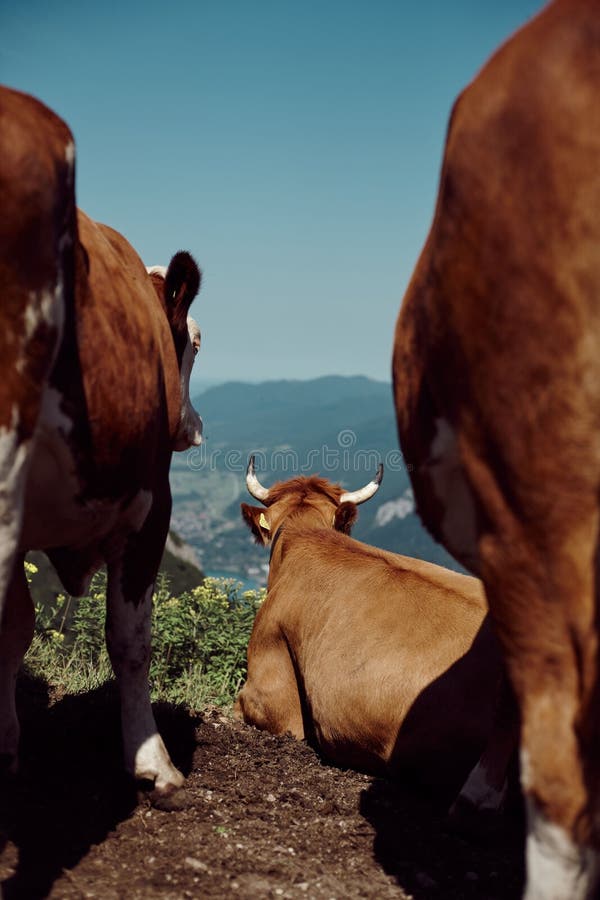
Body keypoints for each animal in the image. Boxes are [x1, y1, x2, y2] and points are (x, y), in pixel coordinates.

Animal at [0, 85, 202, 799]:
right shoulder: (151, 502)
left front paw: (6, 742)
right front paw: (152, 761)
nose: (194, 425)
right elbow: (131, 640)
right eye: (194, 342)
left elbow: (14, 628)